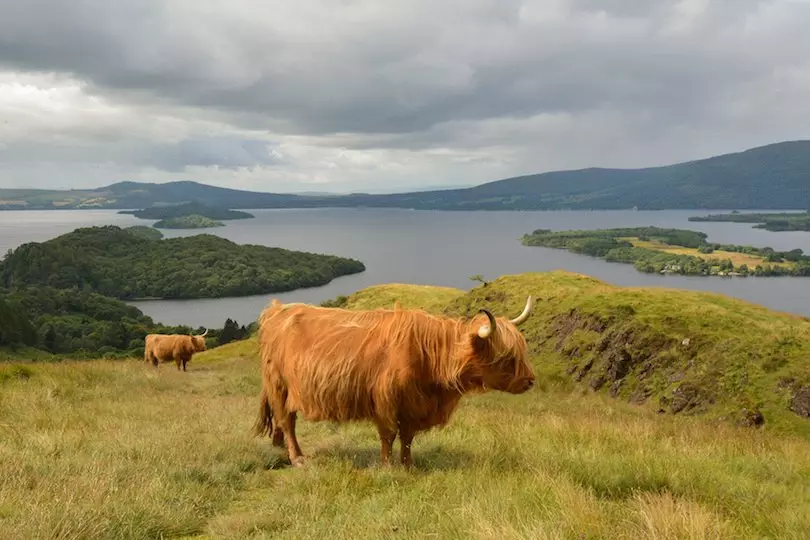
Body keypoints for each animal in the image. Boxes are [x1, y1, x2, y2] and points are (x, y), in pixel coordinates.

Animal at [252, 298, 536, 466]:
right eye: (507, 357)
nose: (530, 381)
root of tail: (277, 309)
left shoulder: (413, 404)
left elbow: (408, 436)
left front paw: (408, 464)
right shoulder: (385, 399)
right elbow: (388, 434)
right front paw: (387, 465)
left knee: (282, 420)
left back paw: (279, 447)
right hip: (280, 385)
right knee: (287, 421)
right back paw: (297, 457)